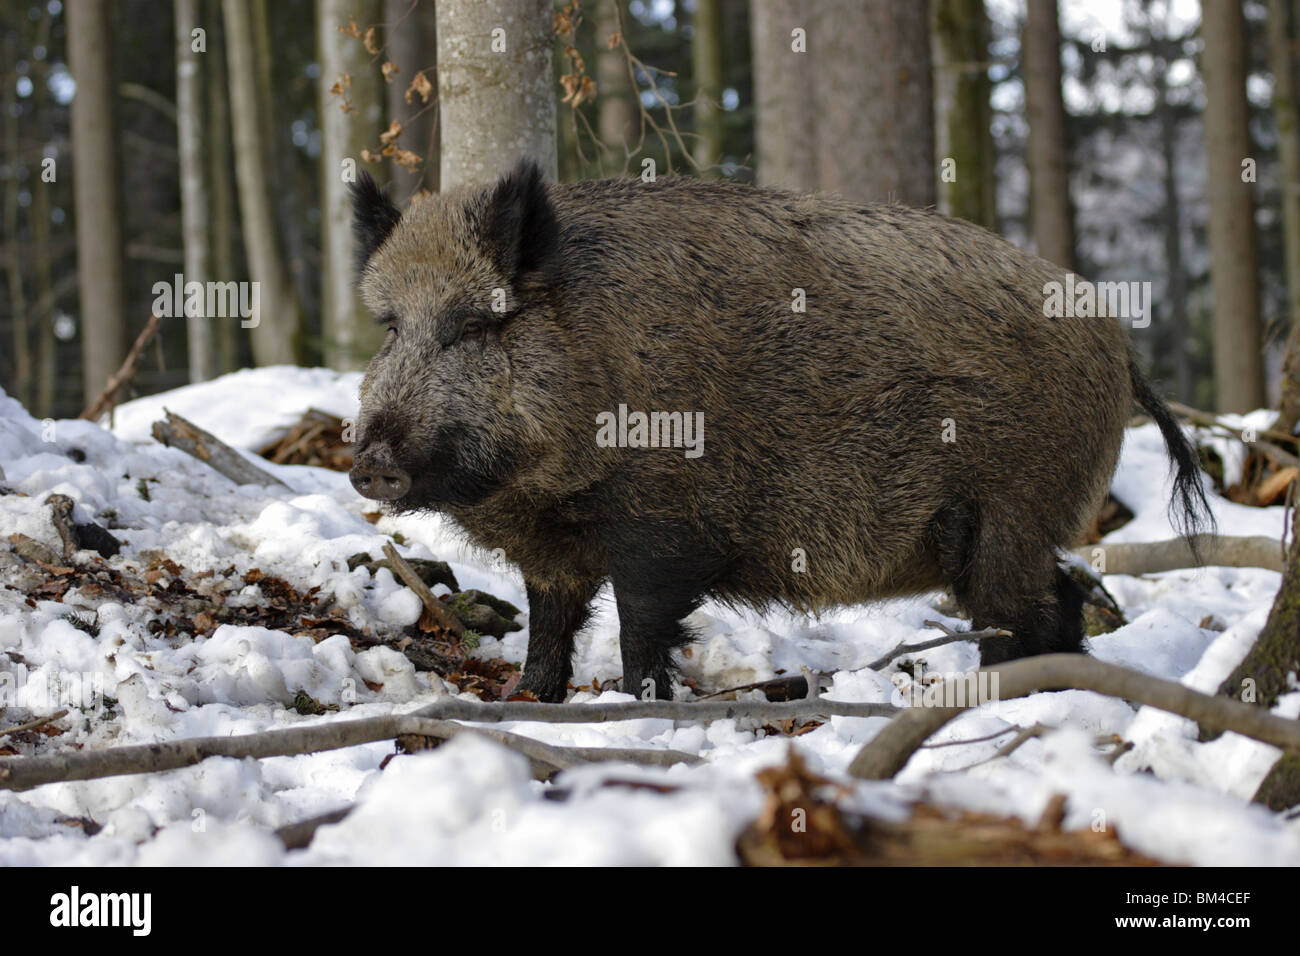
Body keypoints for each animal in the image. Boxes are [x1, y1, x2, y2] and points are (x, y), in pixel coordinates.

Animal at [347, 159, 1211, 702]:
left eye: (473, 325)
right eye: (389, 327)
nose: (371, 462)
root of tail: (1116, 342)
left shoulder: (665, 527)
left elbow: (640, 628)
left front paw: (642, 710)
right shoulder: (556, 552)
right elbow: (549, 625)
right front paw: (529, 701)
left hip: (1011, 510)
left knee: (1027, 609)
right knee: (1058, 599)